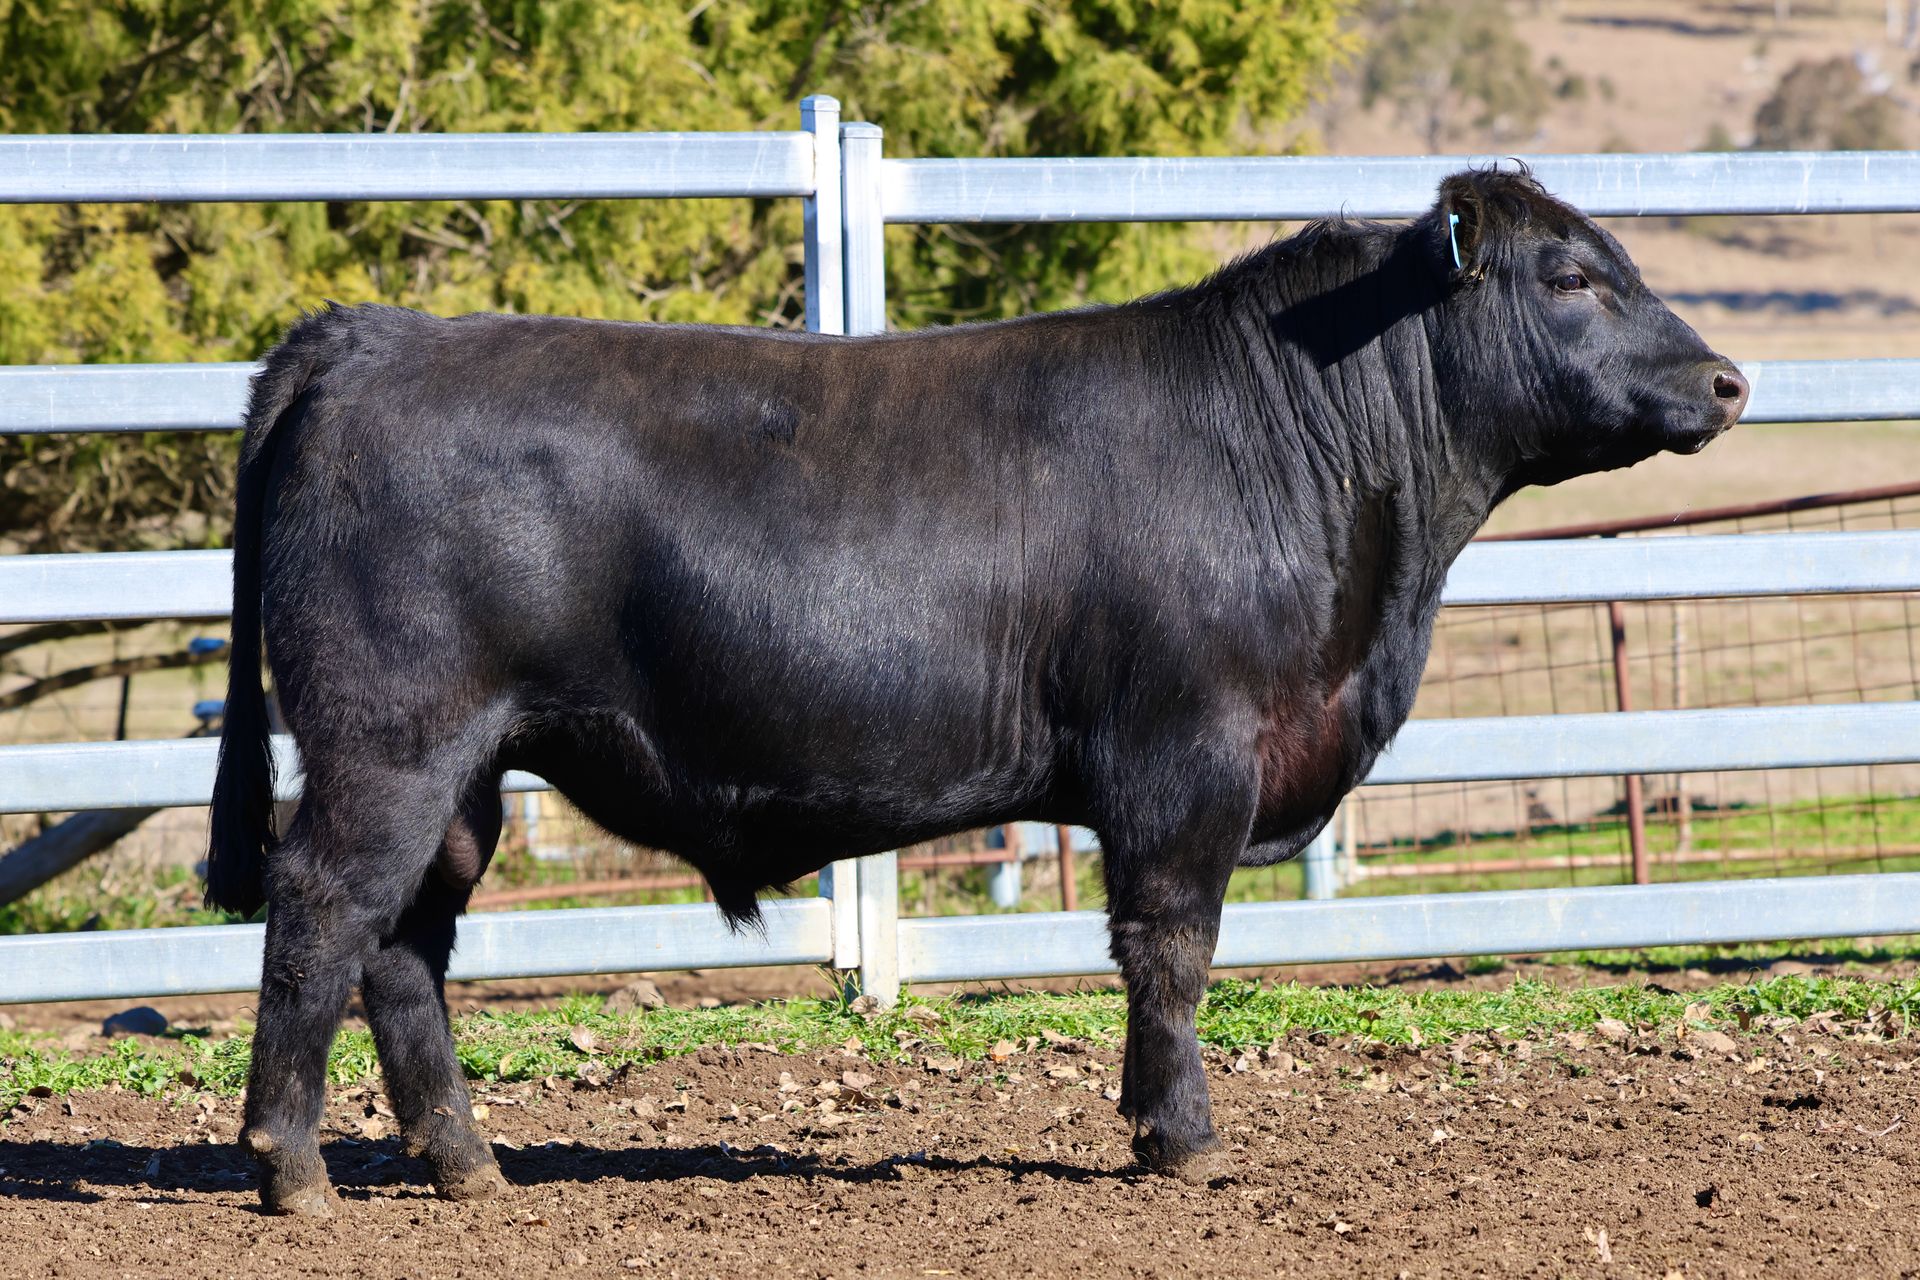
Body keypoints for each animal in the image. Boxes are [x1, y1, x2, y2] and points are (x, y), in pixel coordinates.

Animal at [205, 168, 1747, 1214]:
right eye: (1570, 275)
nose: (1730, 379)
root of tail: (374, 335)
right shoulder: (1185, 759)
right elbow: (1170, 950)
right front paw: (1181, 1140)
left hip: (468, 764)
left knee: (408, 941)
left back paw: (467, 1163)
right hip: (390, 741)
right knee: (325, 907)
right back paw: (291, 1166)